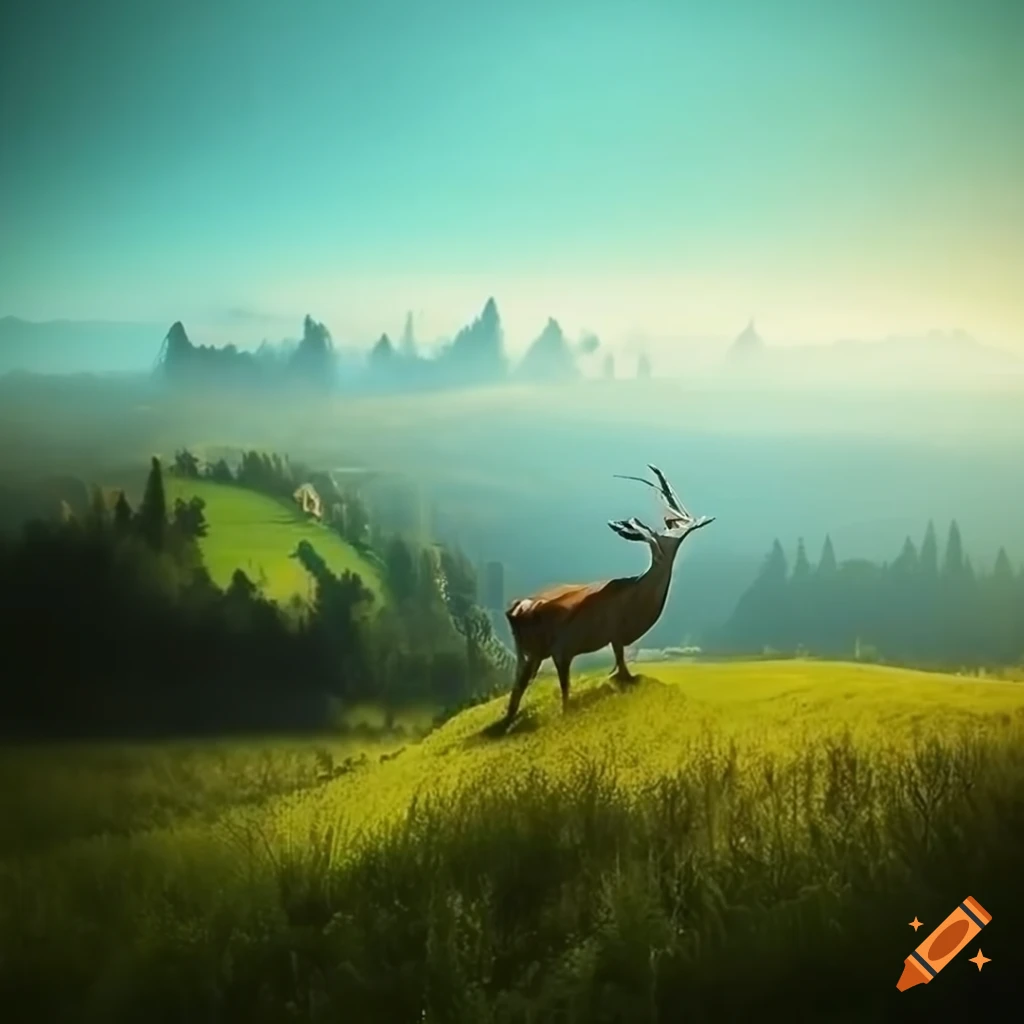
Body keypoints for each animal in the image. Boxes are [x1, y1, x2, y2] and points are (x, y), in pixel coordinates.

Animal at [501, 465, 714, 728]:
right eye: (662, 544)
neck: (636, 598)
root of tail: (516, 610)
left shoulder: (610, 639)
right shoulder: (608, 635)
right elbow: (620, 667)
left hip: (531, 654)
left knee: (517, 692)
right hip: (555, 649)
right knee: (556, 690)